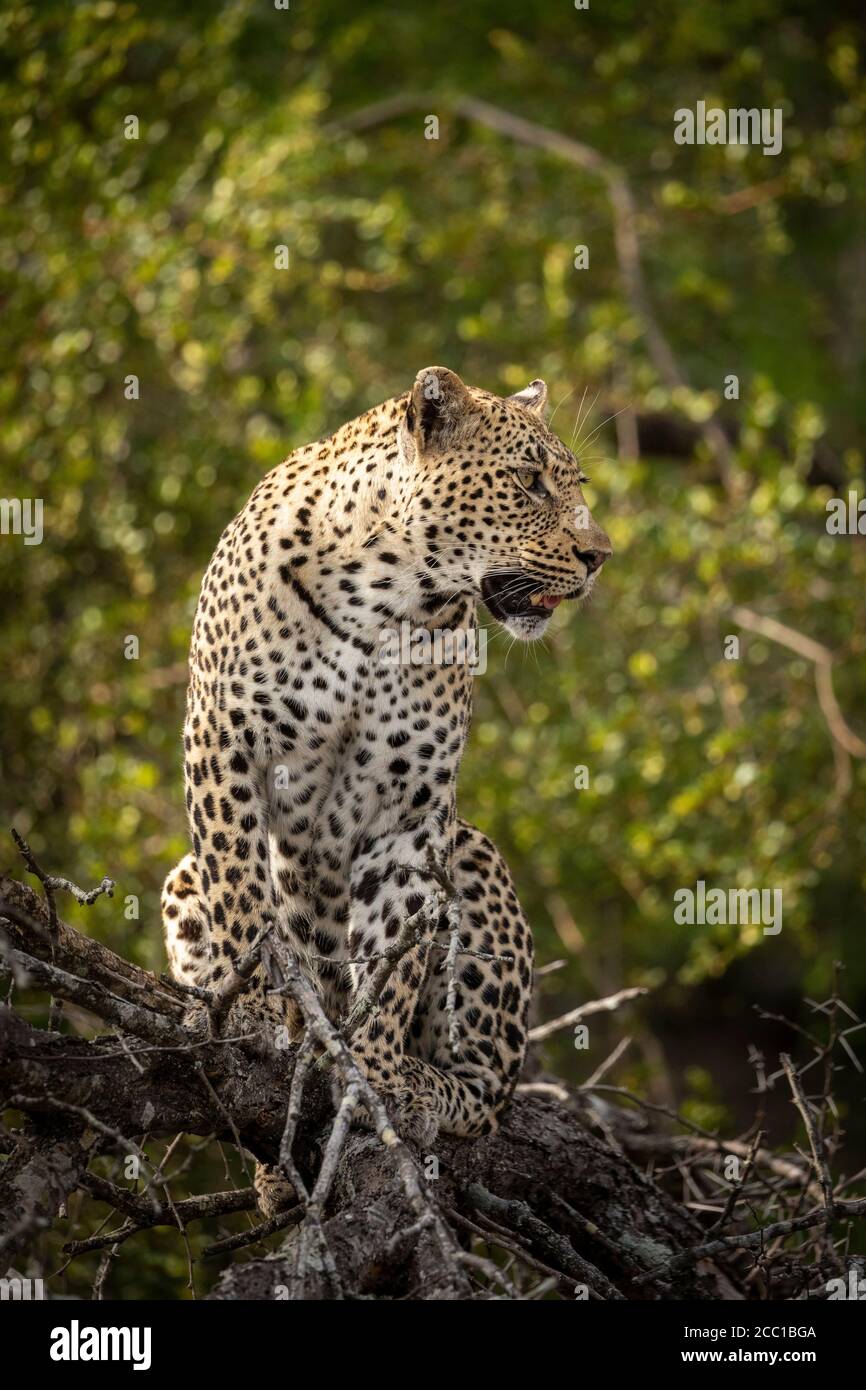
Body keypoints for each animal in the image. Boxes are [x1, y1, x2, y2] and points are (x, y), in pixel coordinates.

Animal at [161, 366, 611, 1214]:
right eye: (529, 482)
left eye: (577, 486)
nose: (600, 555)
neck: (384, 596)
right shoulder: (224, 740)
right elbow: (242, 893)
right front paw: (256, 1008)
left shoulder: (411, 813)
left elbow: (392, 963)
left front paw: (371, 1074)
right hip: (179, 882)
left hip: (473, 854)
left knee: (489, 1095)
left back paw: (423, 1088)